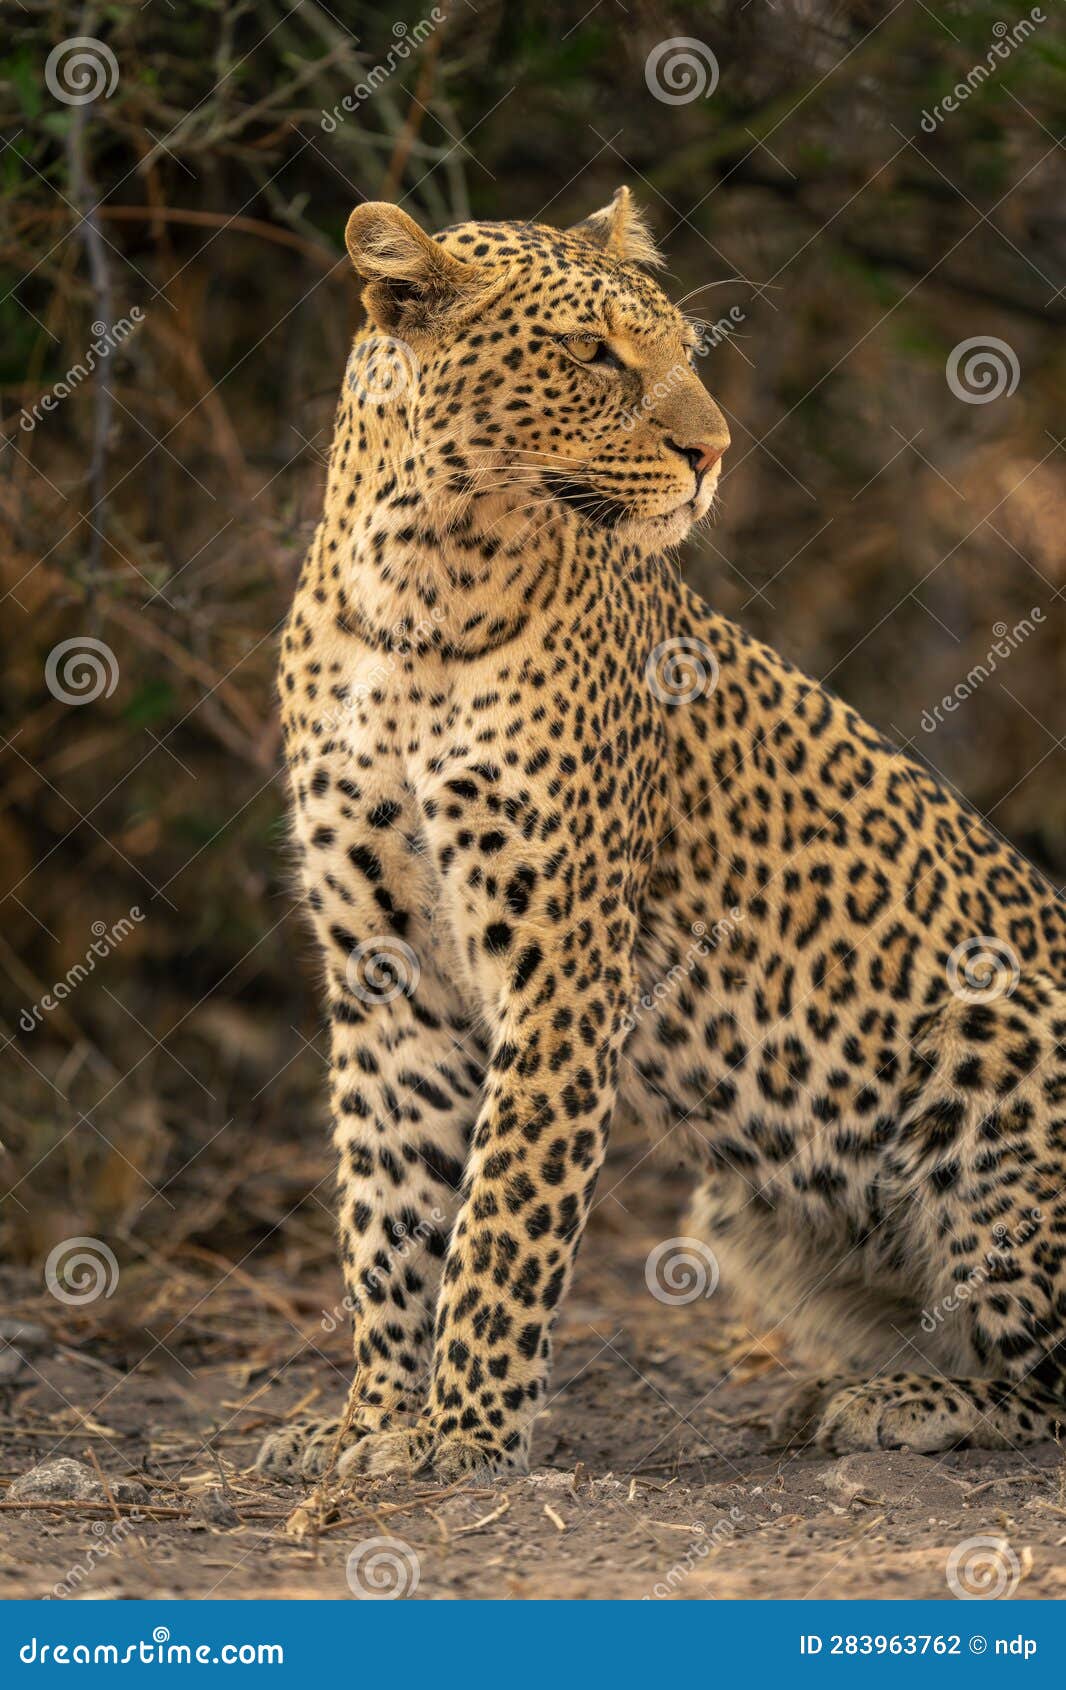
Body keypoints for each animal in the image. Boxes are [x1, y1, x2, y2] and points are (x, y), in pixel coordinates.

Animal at [256, 187, 1066, 1487]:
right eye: (593, 353)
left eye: (684, 351)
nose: (714, 452)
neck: (421, 586)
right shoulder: (384, 968)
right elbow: (386, 1208)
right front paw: (370, 1421)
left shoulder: (563, 963)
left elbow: (504, 1213)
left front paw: (465, 1431)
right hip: (738, 1211)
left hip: (996, 1026)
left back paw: (889, 1403)